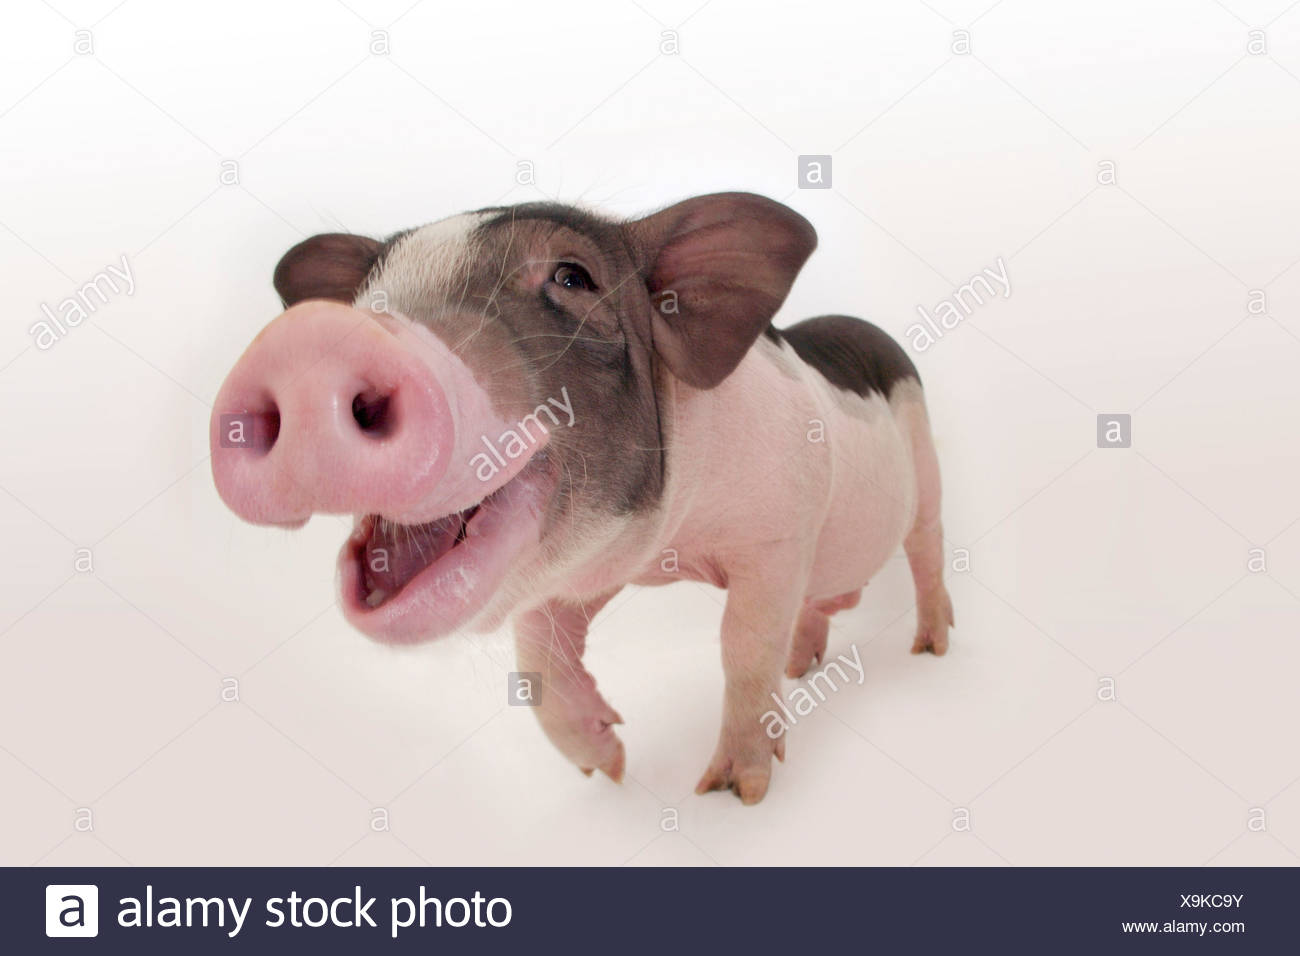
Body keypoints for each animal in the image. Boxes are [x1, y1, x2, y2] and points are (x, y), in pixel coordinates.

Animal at [210, 192, 953, 804]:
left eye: (572, 278)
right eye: (368, 291)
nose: (308, 341)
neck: (672, 552)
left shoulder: (779, 532)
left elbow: (742, 647)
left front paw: (730, 793)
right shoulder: (584, 571)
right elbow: (538, 659)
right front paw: (608, 768)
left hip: (923, 444)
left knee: (926, 548)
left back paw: (931, 649)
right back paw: (803, 667)